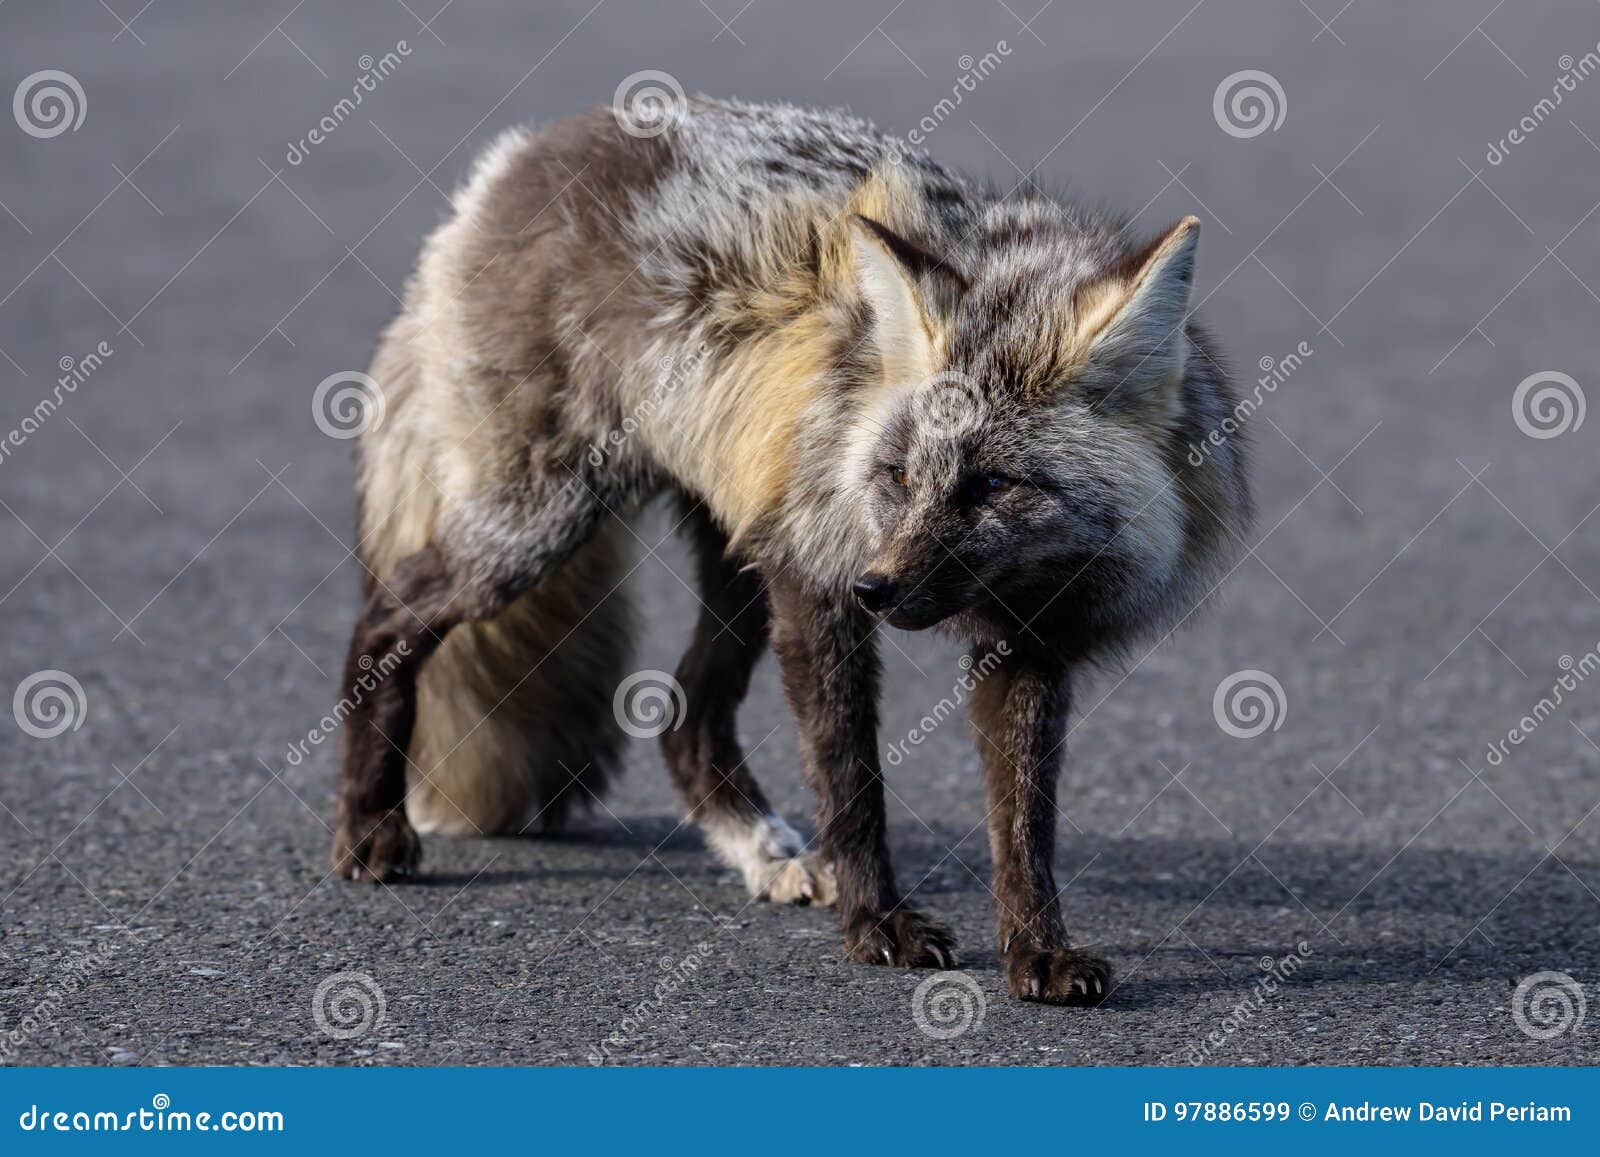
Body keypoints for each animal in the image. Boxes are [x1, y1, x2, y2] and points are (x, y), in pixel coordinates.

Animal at [329, 96, 1250, 1005]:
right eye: (897, 474)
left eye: (990, 485)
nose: (879, 588)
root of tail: (521, 156)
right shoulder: (816, 576)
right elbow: (853, 783)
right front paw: (877, 923)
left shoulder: (1027, 642)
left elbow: (1025, 823)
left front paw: (1036, 949)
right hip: (538, 529)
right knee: (389, 613)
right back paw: (369, 824)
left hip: (738, 558)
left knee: (684, 713)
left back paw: (760, 850)